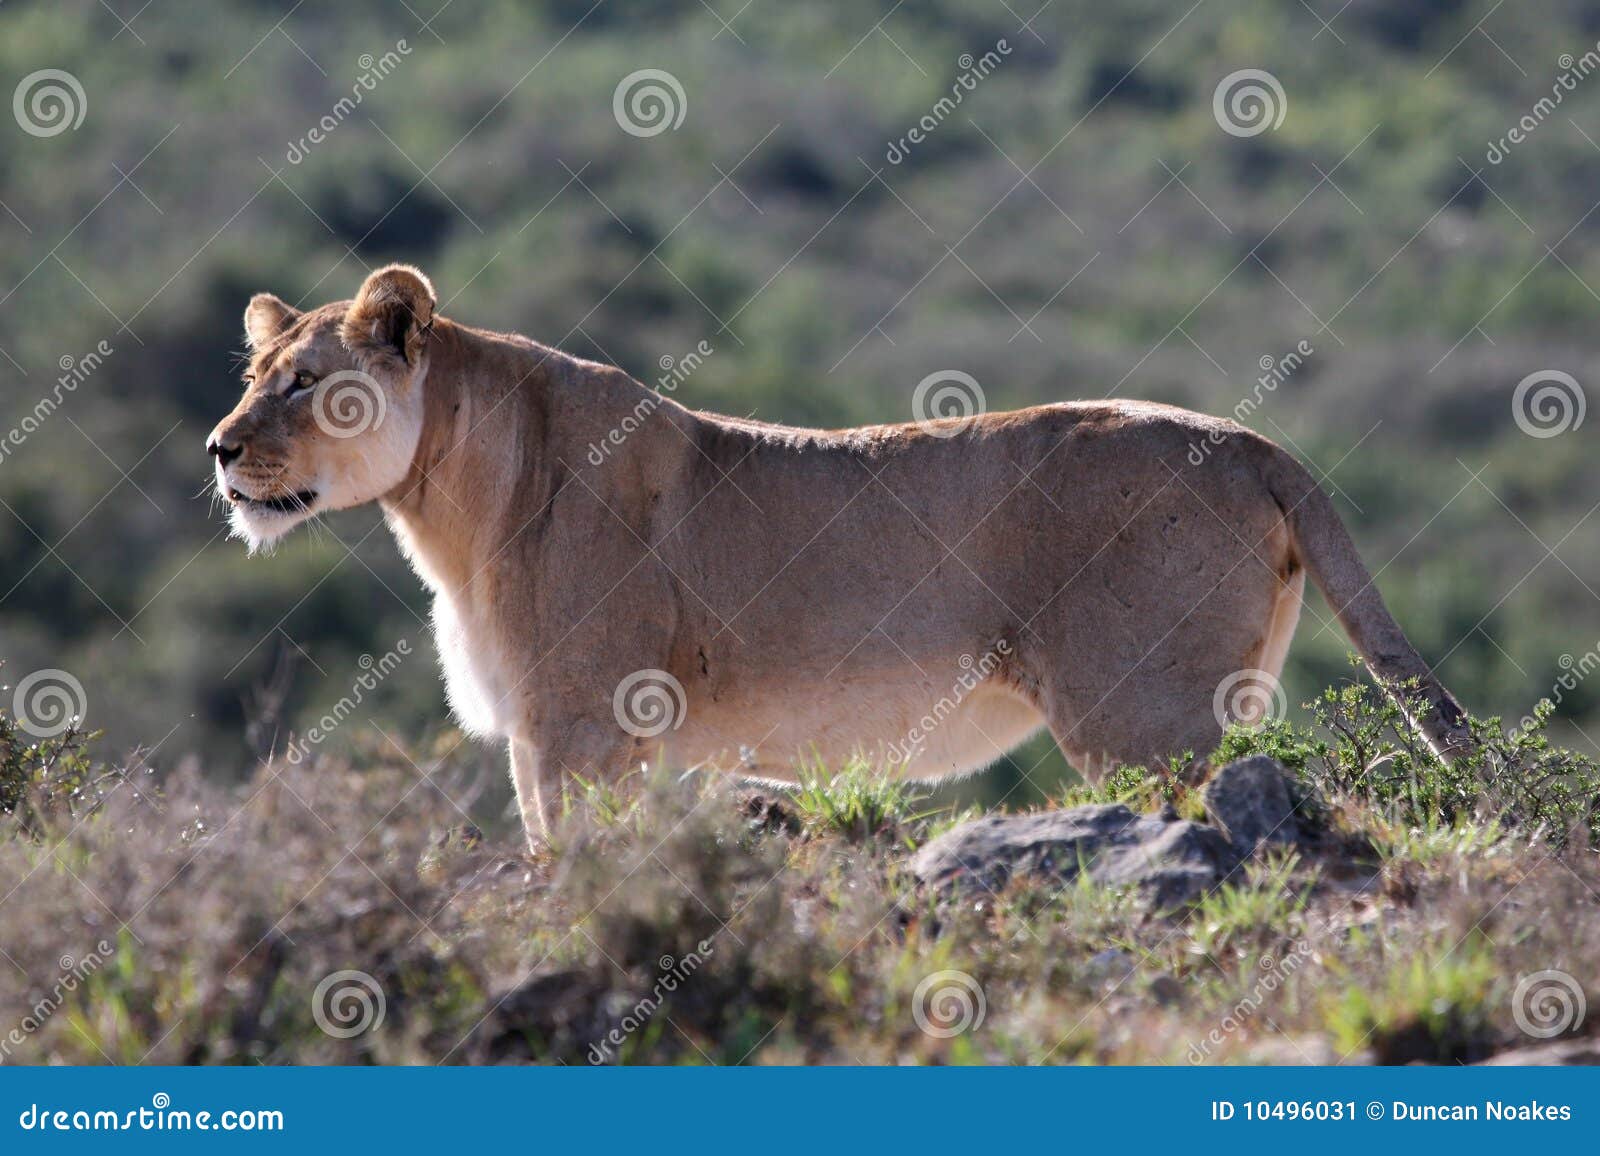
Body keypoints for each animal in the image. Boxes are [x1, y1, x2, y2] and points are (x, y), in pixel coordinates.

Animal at [210, 264, 1473, 847]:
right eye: (251, 375)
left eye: (308, 384)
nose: (220, 450)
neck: (449, 501)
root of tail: (1251, 438)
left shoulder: (576, 726)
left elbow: (561, 865)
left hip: (1142, 716)